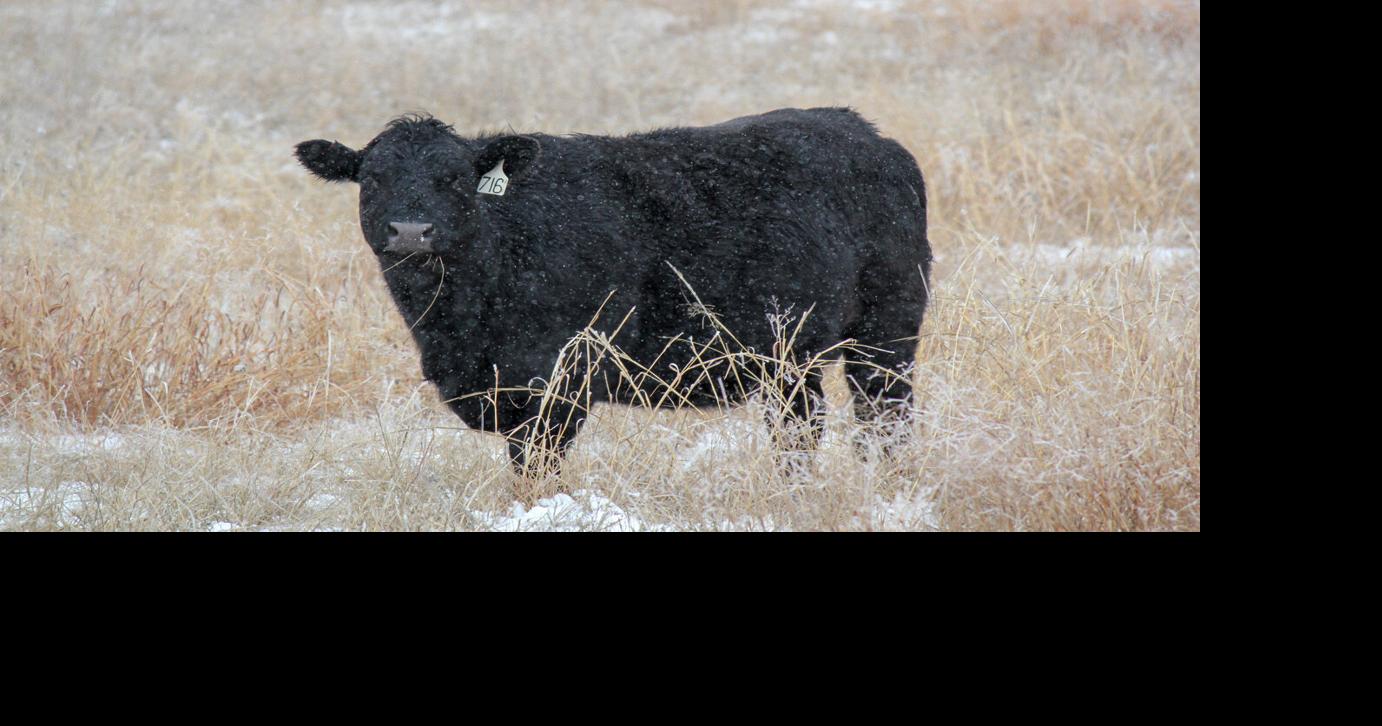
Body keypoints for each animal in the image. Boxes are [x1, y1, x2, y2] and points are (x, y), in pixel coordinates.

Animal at [295, 107, 932, 479]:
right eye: (372, 178)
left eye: (453, 179)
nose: (410, 231)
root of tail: (867, 133)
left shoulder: (556, 384)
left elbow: (535, 472)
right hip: (791, 354)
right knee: (801, 426)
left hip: (886, 332)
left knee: (883, 417)